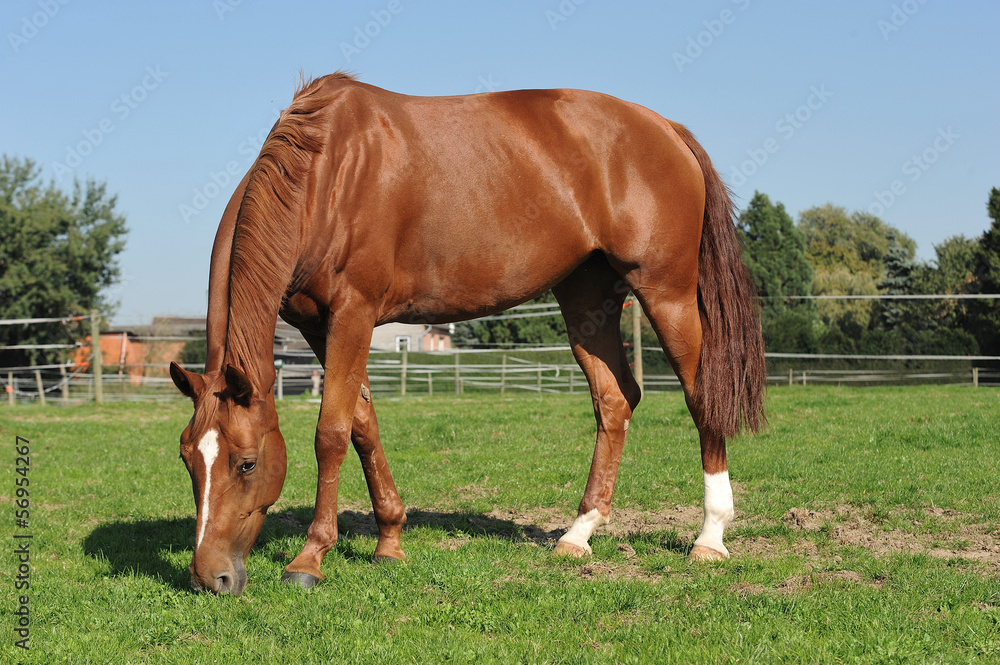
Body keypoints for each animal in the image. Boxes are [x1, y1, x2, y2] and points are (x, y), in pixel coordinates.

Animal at [169, 72, 765, 596]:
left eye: (247, 463)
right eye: (186, 459)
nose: (210, 577)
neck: (327, 172)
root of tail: (665, 127)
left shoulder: (352, 315)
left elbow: (332, 432)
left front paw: (310, 558)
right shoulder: (320, 326)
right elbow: (363, 424)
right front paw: (389, 540)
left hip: (666, 293)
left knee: (701, 396)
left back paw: (710, 536)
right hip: (586, 298)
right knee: (615, 399)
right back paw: (579, 533)